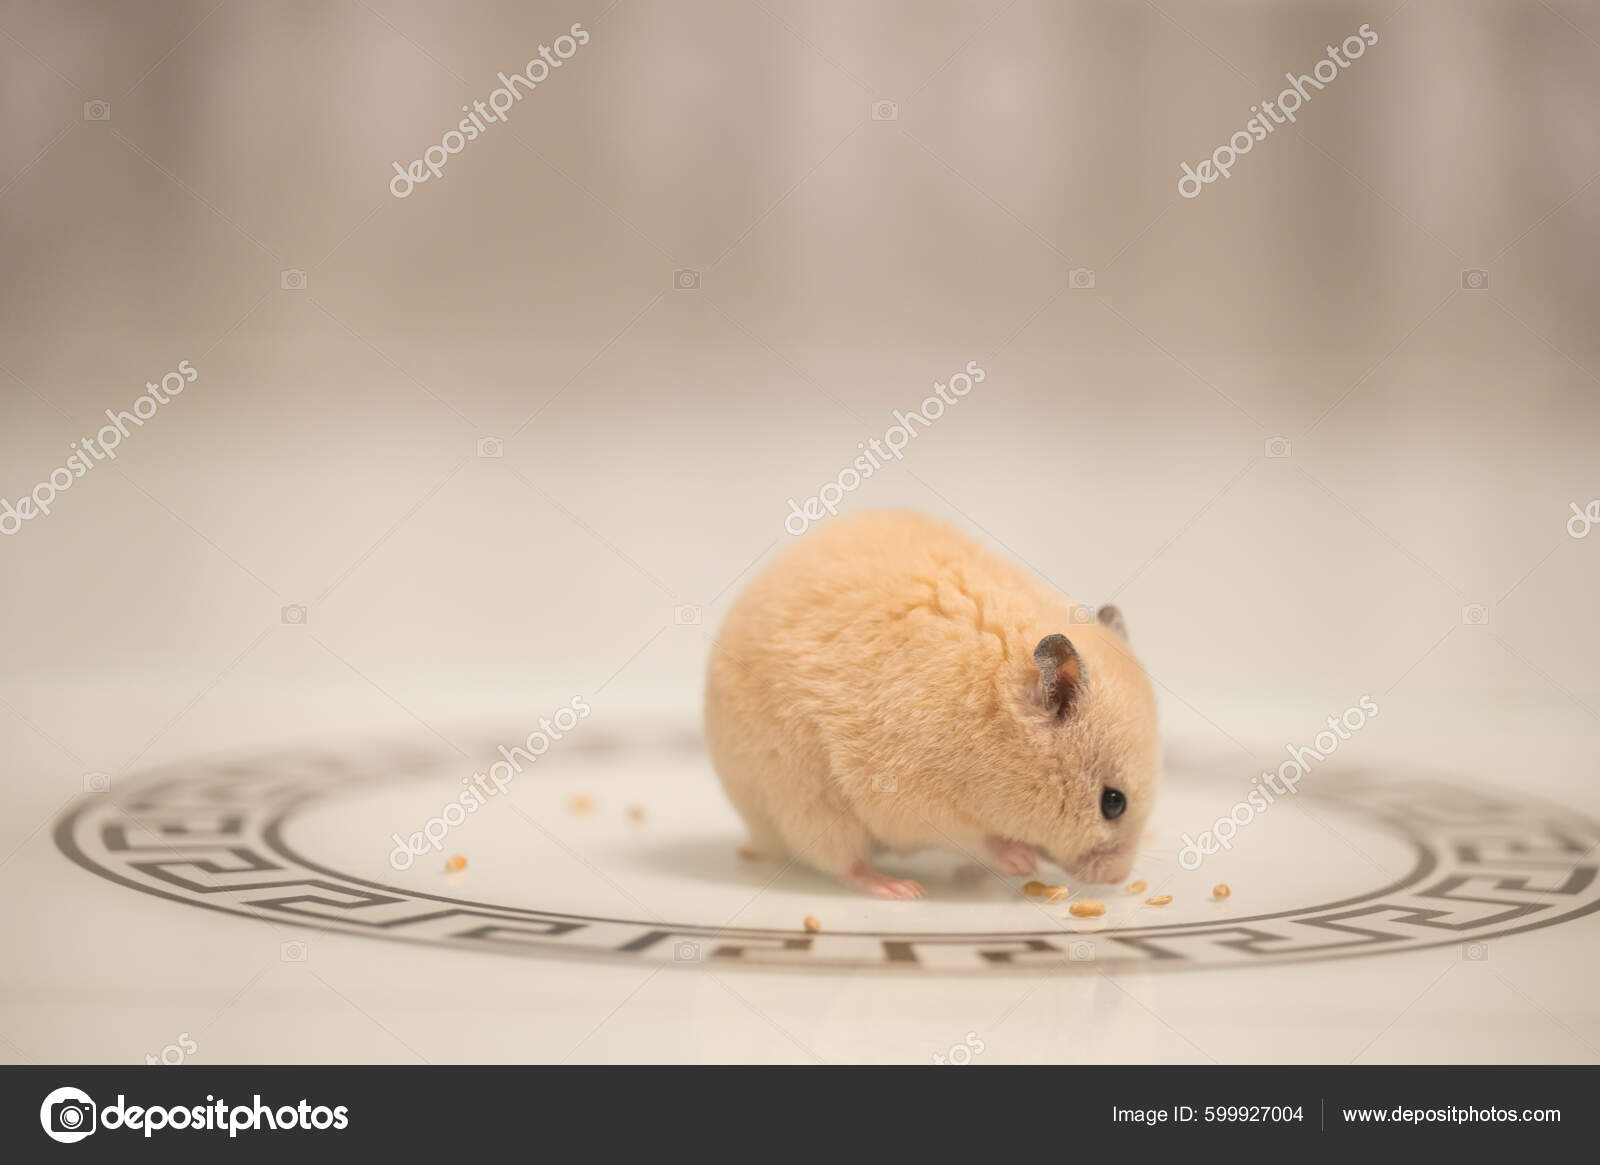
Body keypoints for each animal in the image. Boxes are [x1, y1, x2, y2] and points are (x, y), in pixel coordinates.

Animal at [704, 509, 1160, 899]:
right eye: (1112, 802)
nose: (1119, 878)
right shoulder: (914, 801)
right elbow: (975, 838)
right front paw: (1021, 860)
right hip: (805, 807)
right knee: (845, 864)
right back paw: (900, 889)